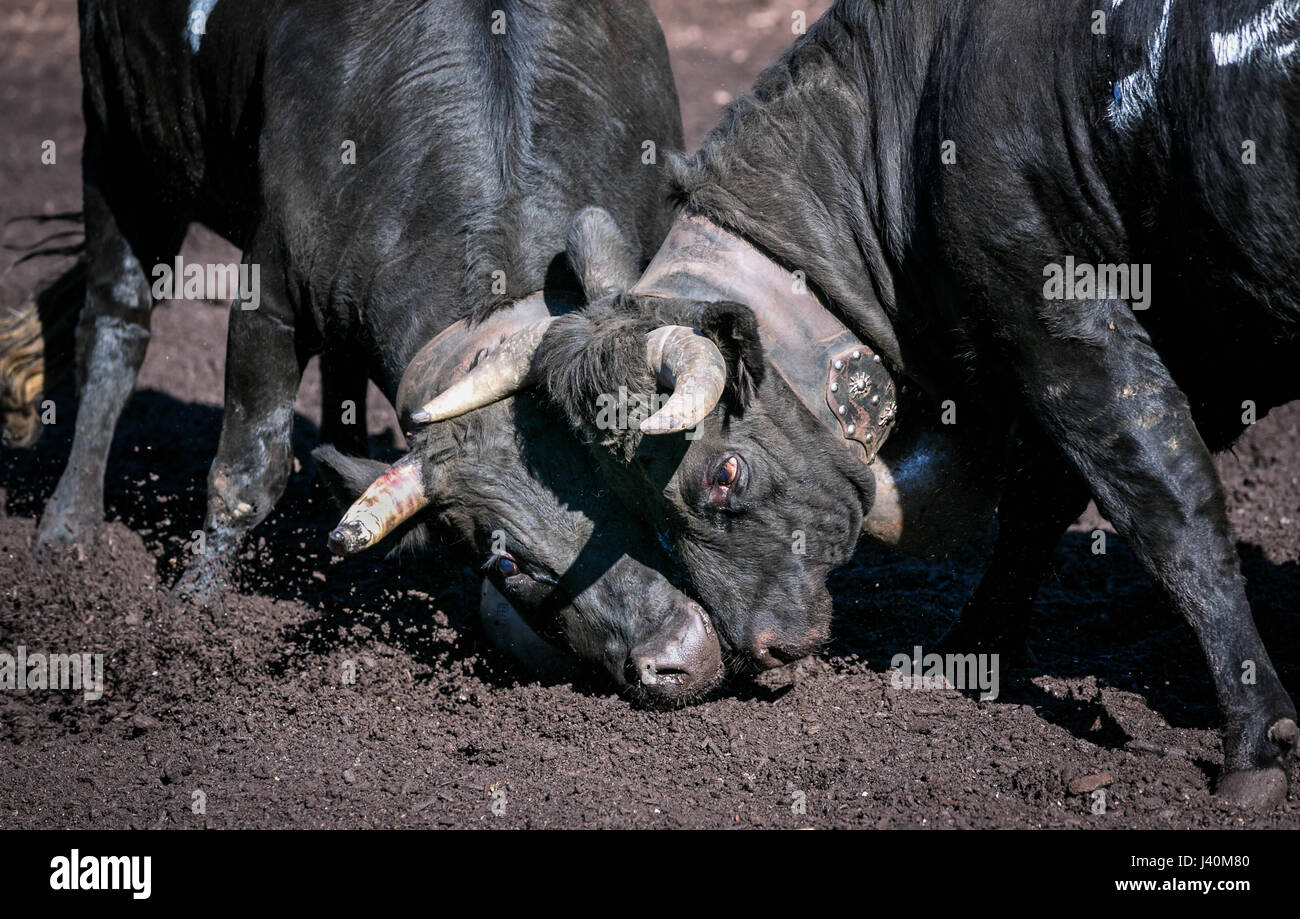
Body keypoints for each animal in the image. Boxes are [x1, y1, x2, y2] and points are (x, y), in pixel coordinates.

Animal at [1, 0, 723, 703]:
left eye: (634, 482)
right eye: (506, 562)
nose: (680, 655)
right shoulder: (268, 300)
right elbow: (246, 472)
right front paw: (192, 610)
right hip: (118, 147)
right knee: (114, 329)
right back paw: (67, 531)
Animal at [415, 0, 1300, 804]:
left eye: (723, 474)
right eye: (625, 504)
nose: (760, 647)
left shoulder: (1063, 320)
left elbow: (1169, 513)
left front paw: (1257, 743)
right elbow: (1042, 507)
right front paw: (965, 654)